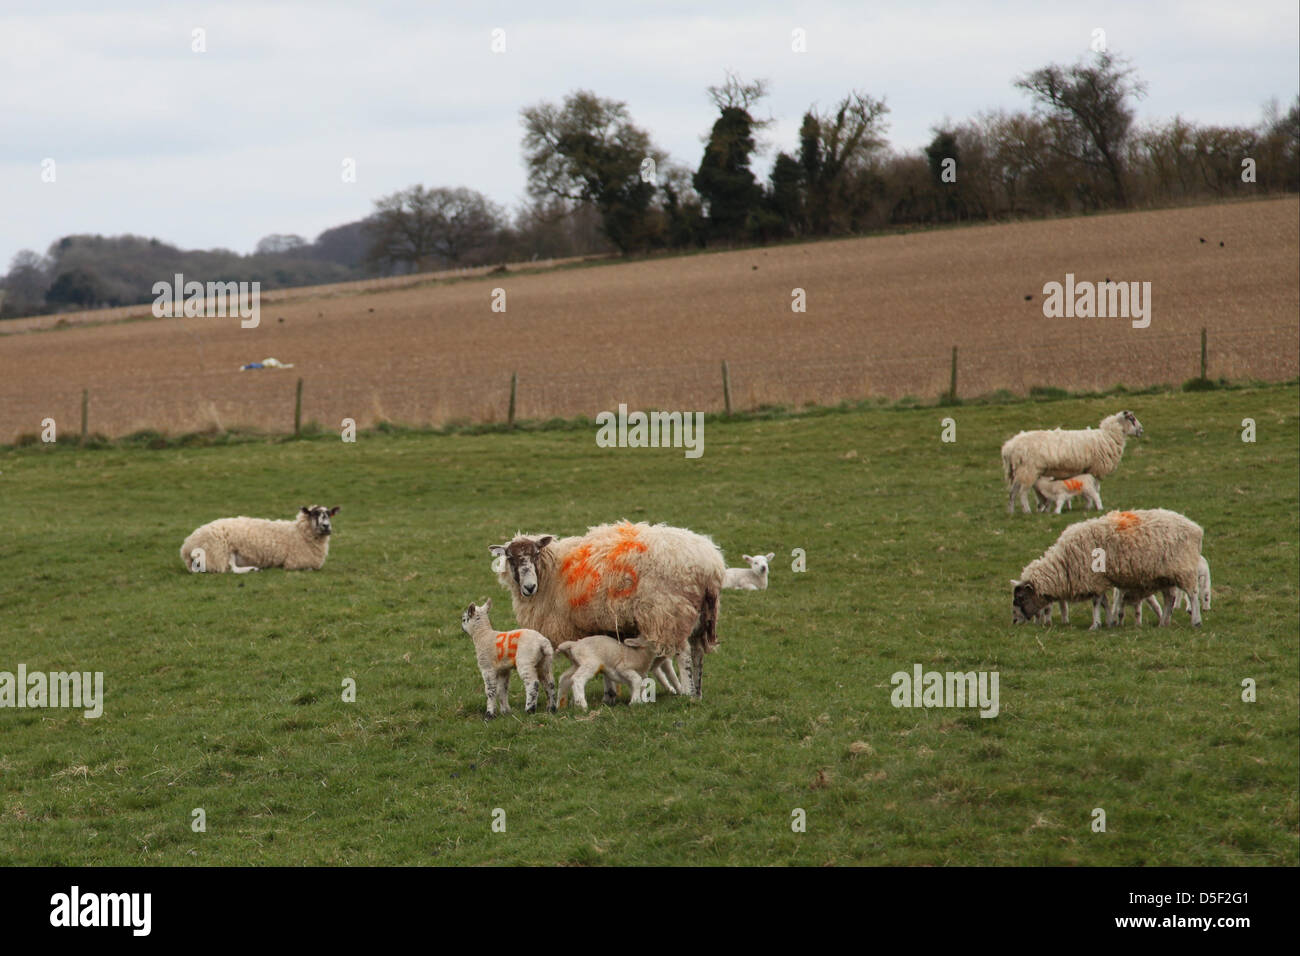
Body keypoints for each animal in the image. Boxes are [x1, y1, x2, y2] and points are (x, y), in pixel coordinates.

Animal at [180, 505, 338, 573]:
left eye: (329, 514)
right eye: (315, 513)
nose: (326, 526)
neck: (299, 533)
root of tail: (187, 546)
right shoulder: (295, 563)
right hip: (220, 552)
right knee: (230, 569)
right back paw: (254, 569)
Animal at [489, 521, 724, 699]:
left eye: (536, 553)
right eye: (510, 557)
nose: (529, 587)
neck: (551, 573)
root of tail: (709, 563)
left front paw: (608, 694)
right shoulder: (598, 625)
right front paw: (609, 694)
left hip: (669, 612)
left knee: (684, 653)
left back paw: (687, 692)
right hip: (701, 615)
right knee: (697, 652)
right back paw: (698, 692)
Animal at [1002, 411, 1143, 514]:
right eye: (1132, 419)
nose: (1141, 431)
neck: (1108, 436)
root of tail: (1008, 447)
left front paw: (1087, 504)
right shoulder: (1095, 469)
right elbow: (1095, 489)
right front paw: (1092, 505)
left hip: (1019, 471)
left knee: (1012, 492)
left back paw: (1011, 511)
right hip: (1029, 470)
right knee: (1023, 493)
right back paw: (1027, 511)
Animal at [1012, 508, 1204, 628]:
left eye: (1020, 597)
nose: (1014, 620)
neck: (1064, 562)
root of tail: (1196, 528)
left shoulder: (1093, 579)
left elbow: (1096, 602)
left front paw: (1095, 624)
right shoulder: (1100, 580)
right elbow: (1104, 601)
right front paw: (1110, 621)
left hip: (1183, 568)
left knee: (1192, 594)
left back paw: (1196, 621)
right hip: (1164, 575)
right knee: (1169, 598)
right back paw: (1163, 623)